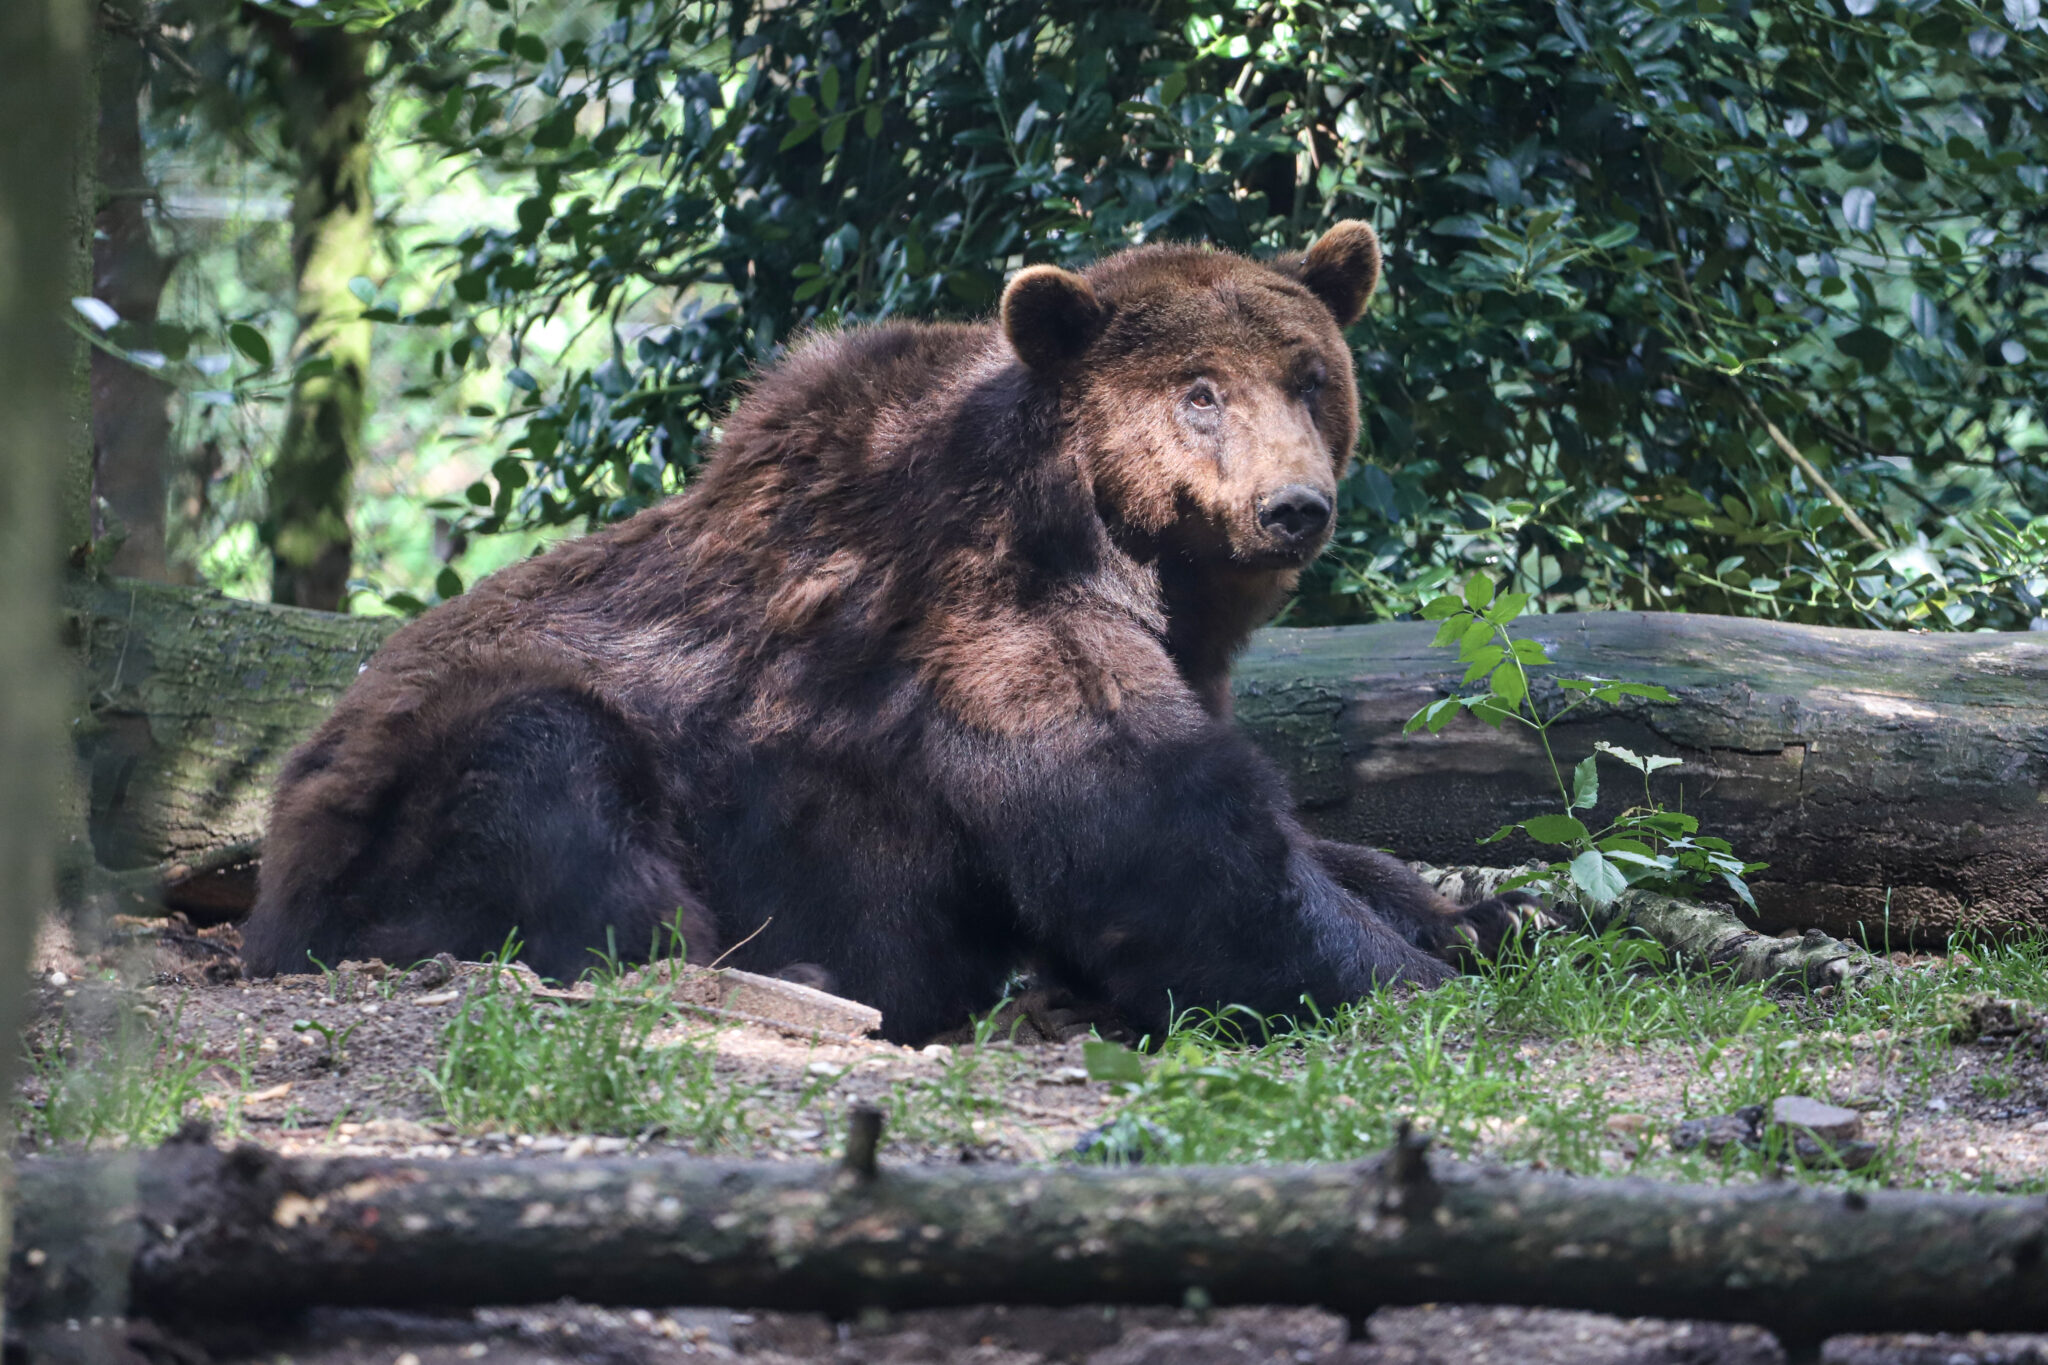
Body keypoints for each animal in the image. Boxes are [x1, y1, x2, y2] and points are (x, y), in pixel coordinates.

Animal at [240, 220, 1539, 1043]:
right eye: (1198, 390)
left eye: (1308, 376)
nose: (1291, 508)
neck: (1118, 549)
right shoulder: (985, 633)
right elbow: (1172, 851)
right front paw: (1410, 973)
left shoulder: (1179, 645)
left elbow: (1309, 841)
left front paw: (1483, 913)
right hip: (418, 781)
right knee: (552, 778)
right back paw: (787, 974)